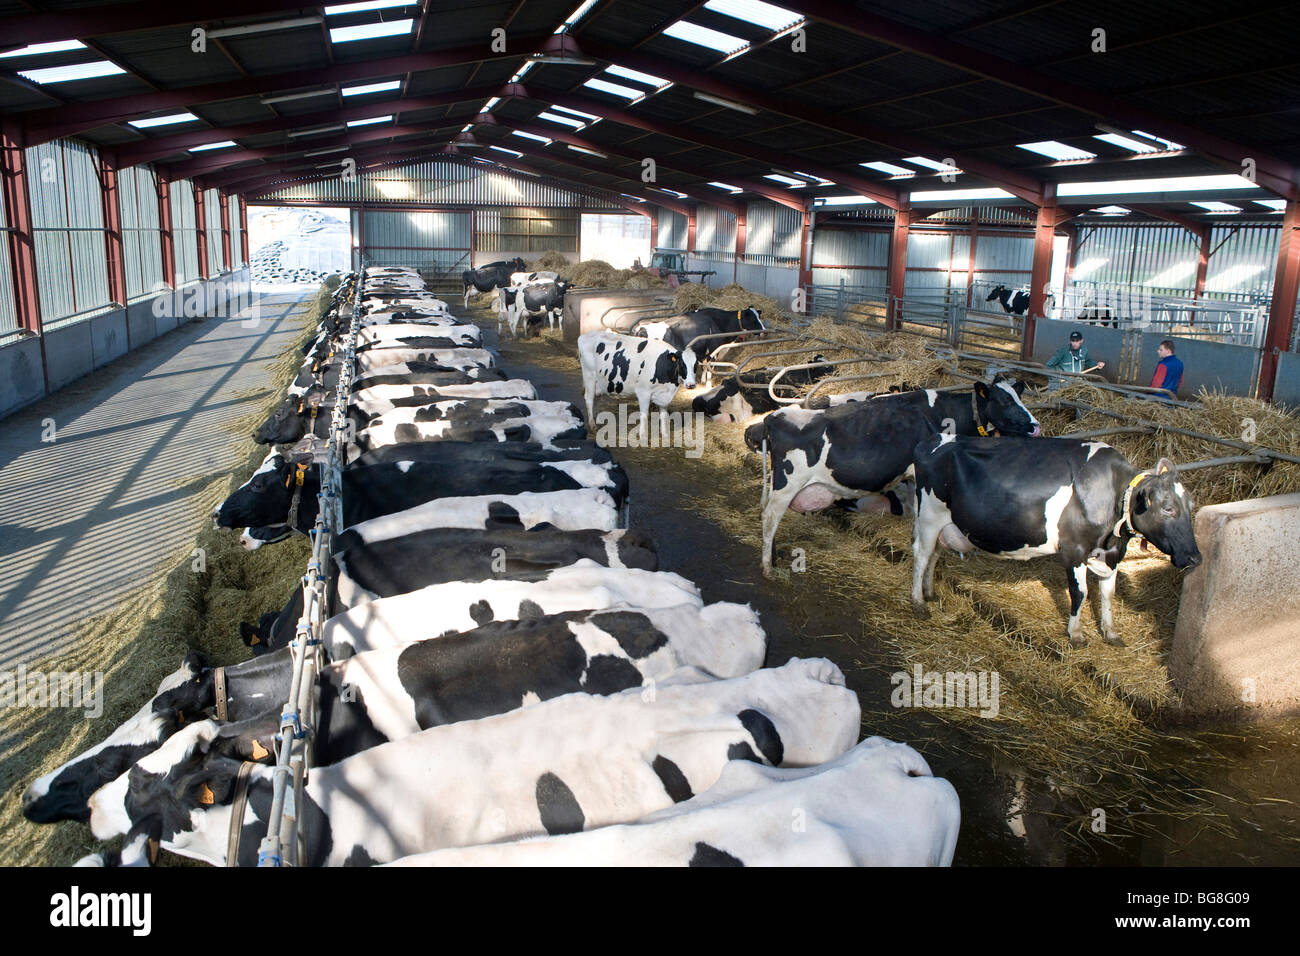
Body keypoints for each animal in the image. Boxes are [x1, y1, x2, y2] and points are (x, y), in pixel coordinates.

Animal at [745, 377, 1042, 574]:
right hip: (788, 482)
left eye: (1019, 398)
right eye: (1004, 400)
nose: (1036, 427)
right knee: (770, 516)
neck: (941, 414)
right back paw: (767, 566)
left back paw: (774, 555)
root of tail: (774, 417)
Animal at [910, 436, 1201, 646]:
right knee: (921, 556)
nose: (1195, 557)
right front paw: (1077, 634)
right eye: (1168, 508)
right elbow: (1080, 592)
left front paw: (1110, 633)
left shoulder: (1111, 554)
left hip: (945, 524)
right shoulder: (1074, 549)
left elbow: (1108, 593)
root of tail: (931, 442)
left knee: (934, 554)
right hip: (929, 516)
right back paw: (918, 602)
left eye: (1190, 506)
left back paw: (930, 592)